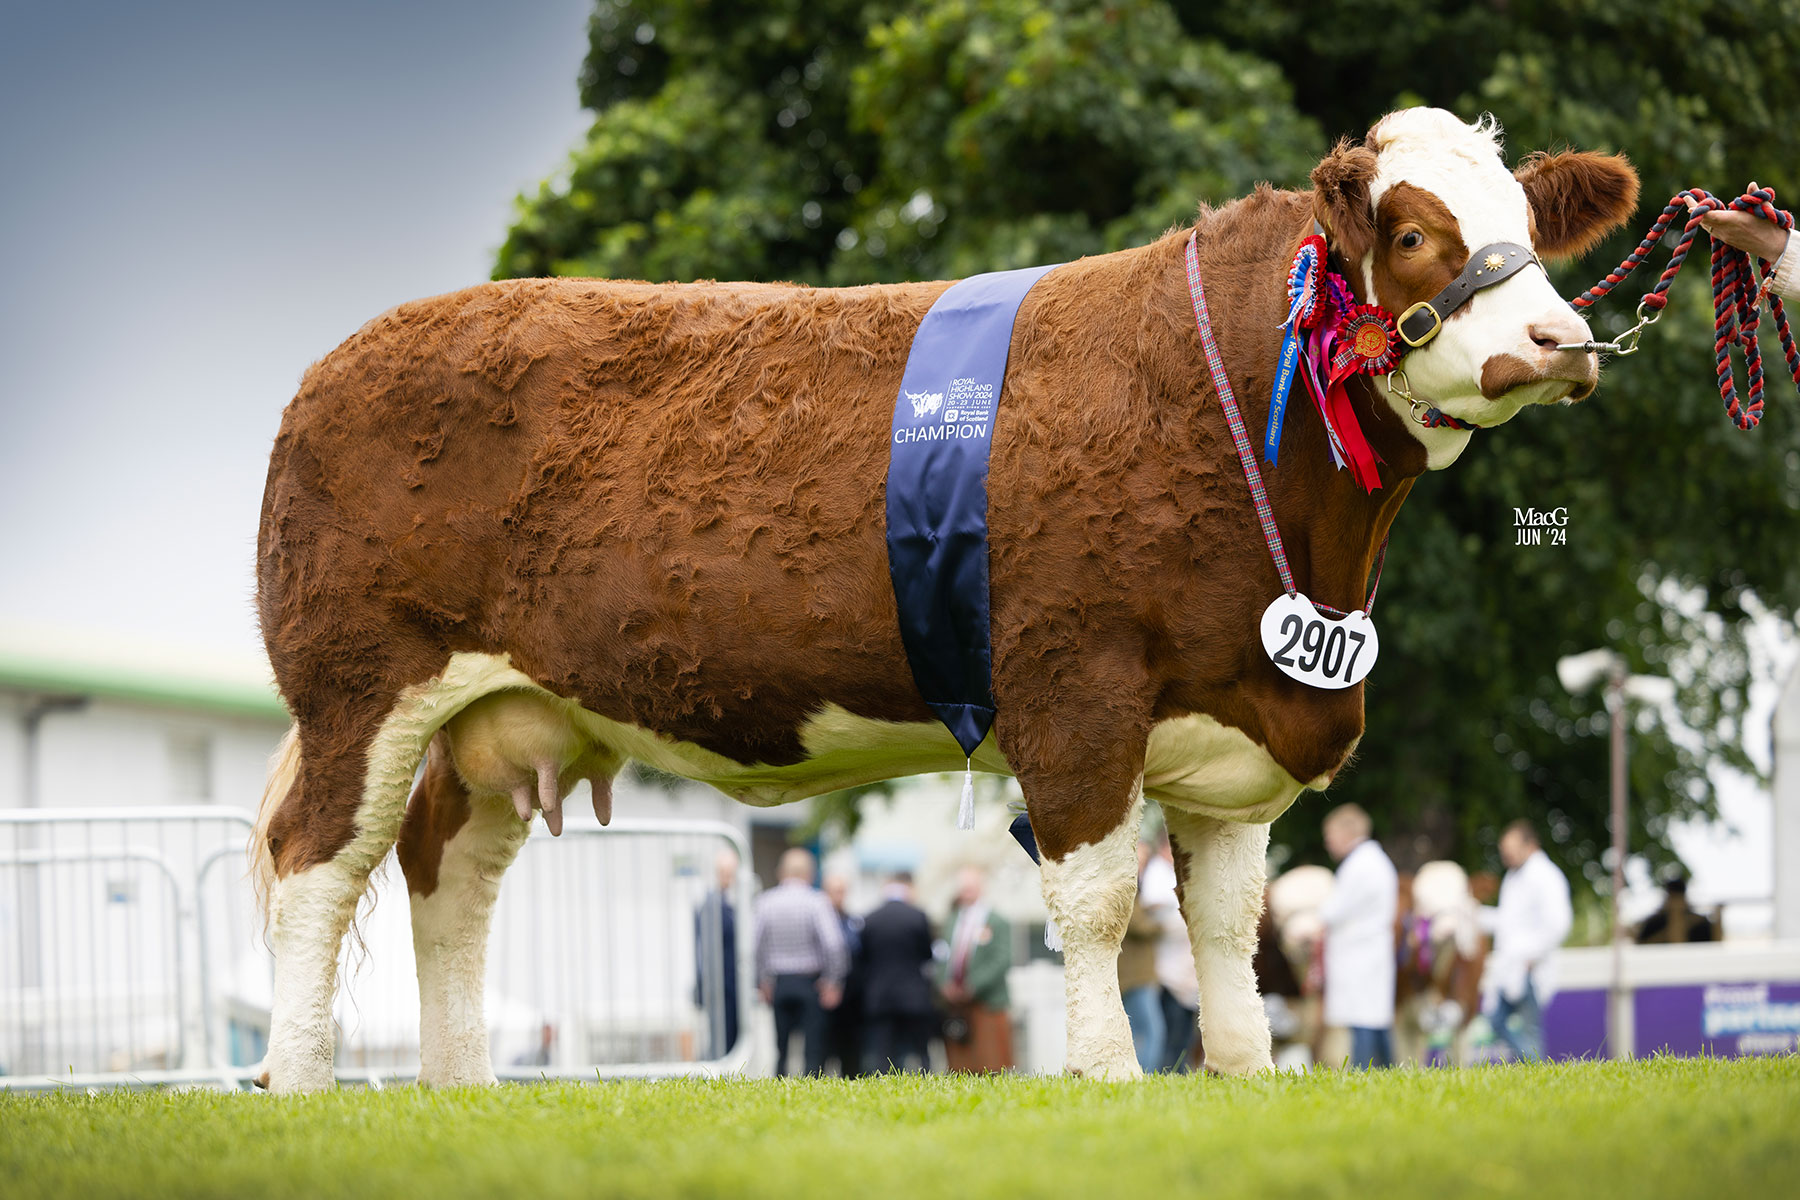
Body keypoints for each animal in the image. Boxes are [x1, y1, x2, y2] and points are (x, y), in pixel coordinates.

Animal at [250, 107, 1637, 1091]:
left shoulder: (1242, 717)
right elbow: (1098, 901)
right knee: (316, 868)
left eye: (1529, 226)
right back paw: (302, 1084)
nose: (1563, 343)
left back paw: (461, 1088)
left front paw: (1243, 1076)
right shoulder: (1076, 688)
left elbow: (1228, 923)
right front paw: (1106, 1074)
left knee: (446, 876)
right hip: (357, 691)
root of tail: (340, 359)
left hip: (497, 718)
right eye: (1411, 235)